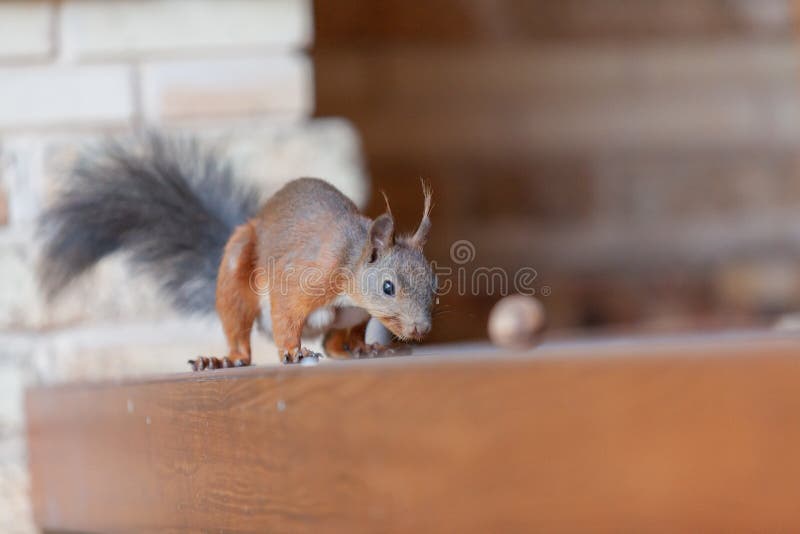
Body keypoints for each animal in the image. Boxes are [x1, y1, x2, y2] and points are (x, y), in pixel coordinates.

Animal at [38, 134, 436, 369]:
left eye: (435, 284)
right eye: (388, 287)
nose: (421, 328)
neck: (352, 269)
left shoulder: (358, 314)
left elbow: (347, 335)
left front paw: (367, 347)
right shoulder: (305, 277)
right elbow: (287, 313)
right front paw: (293, 351)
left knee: (333, 341)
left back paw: (356, 349)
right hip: (236, 274)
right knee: (240, 334)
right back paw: (225, 359)